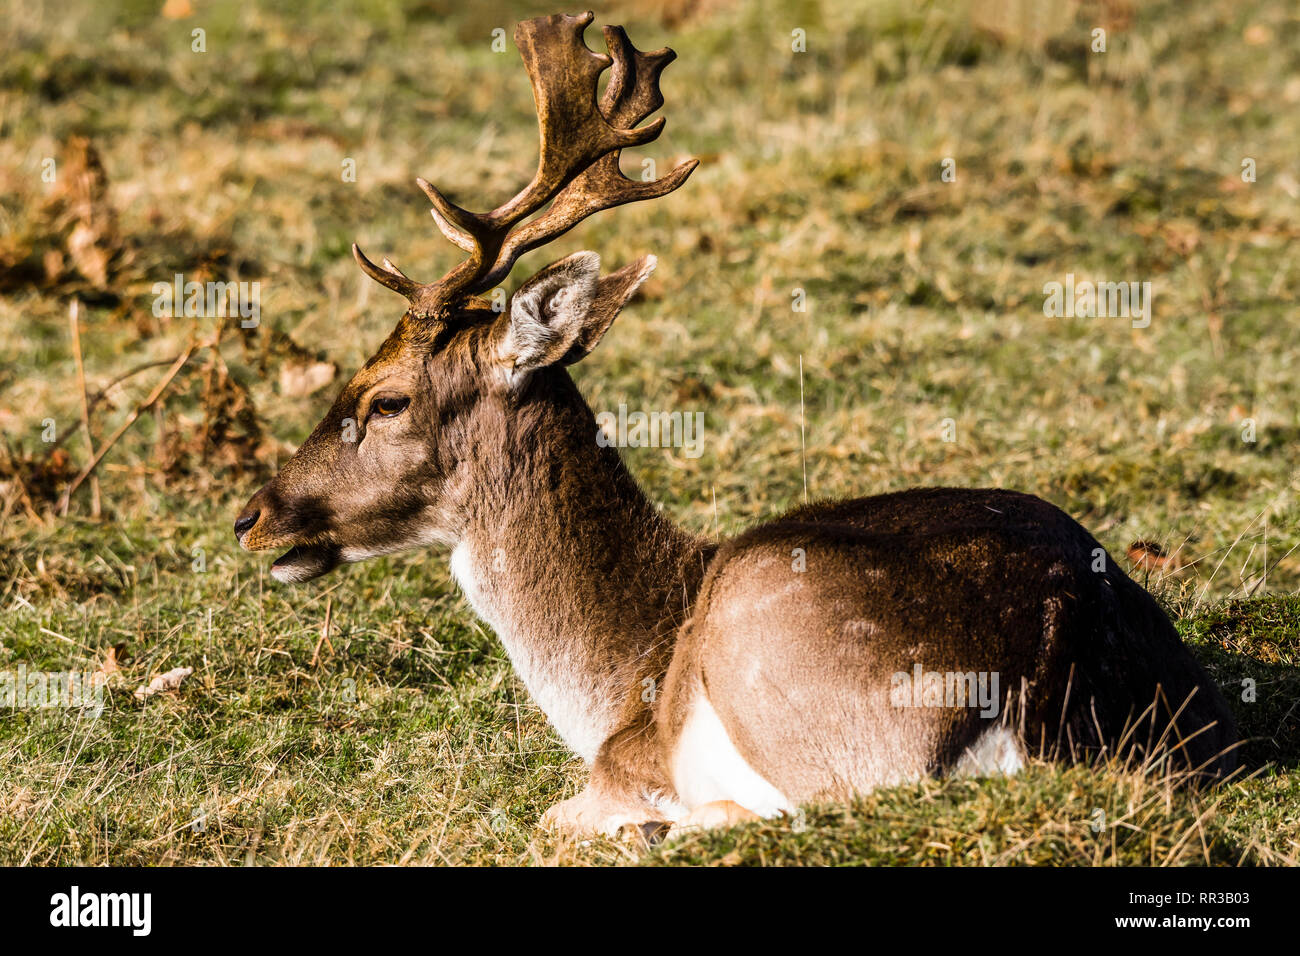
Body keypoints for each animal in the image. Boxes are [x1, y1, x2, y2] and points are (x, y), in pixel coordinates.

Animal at [234, 11, 1239, 837]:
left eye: (385, 398)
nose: (252, 516)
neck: (613, 679)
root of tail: (1047, 670)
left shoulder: (626, 761)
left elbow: (558, 814)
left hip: (790, 672)